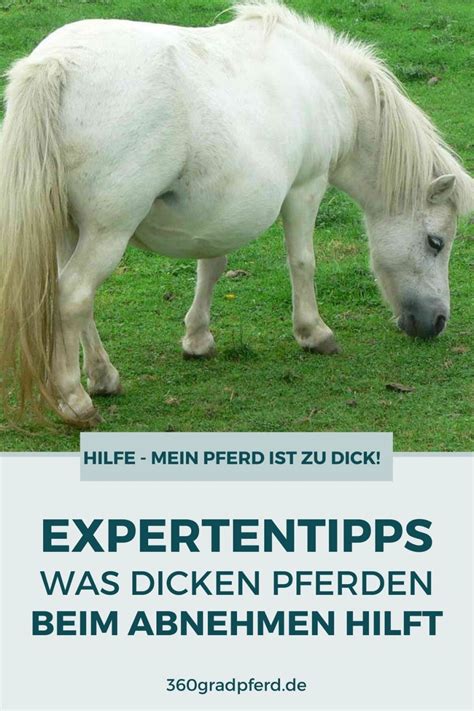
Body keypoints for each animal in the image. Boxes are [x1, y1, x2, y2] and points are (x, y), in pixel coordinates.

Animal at [0, 0, 472, 427]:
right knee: (74, 294)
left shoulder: (219, 210)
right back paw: (75, 401)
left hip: (71, 229)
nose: (437, 322)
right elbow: (302, 262)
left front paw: (197, 338)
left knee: (76, 303)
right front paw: (314, 333)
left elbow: (212, 265)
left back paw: (103, 377)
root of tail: (55, 63)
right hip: (106, 232)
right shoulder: (306, 188)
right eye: (436, 242)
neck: (323, 81)